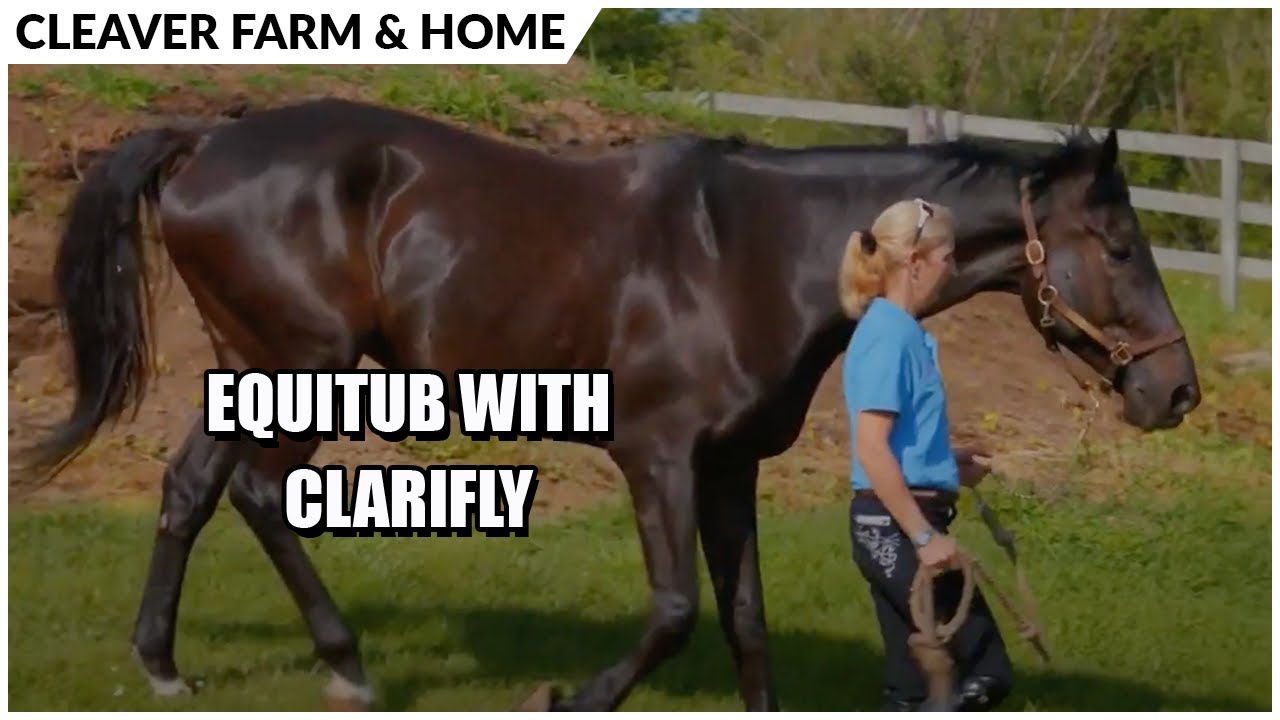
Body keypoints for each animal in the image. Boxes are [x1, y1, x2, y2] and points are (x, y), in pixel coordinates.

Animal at [24, 96, 1201, 711]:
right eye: (1119, 245)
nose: (1174, 389)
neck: (756, 252)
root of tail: (203, 144)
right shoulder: (657, 456)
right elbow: (675, 612)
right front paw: (573, 695)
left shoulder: (729, 467)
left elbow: (746, 626)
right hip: (307, 368)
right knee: (260, 498)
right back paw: (345, 664)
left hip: (250, 364)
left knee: (189, 491)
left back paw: (163, 662)